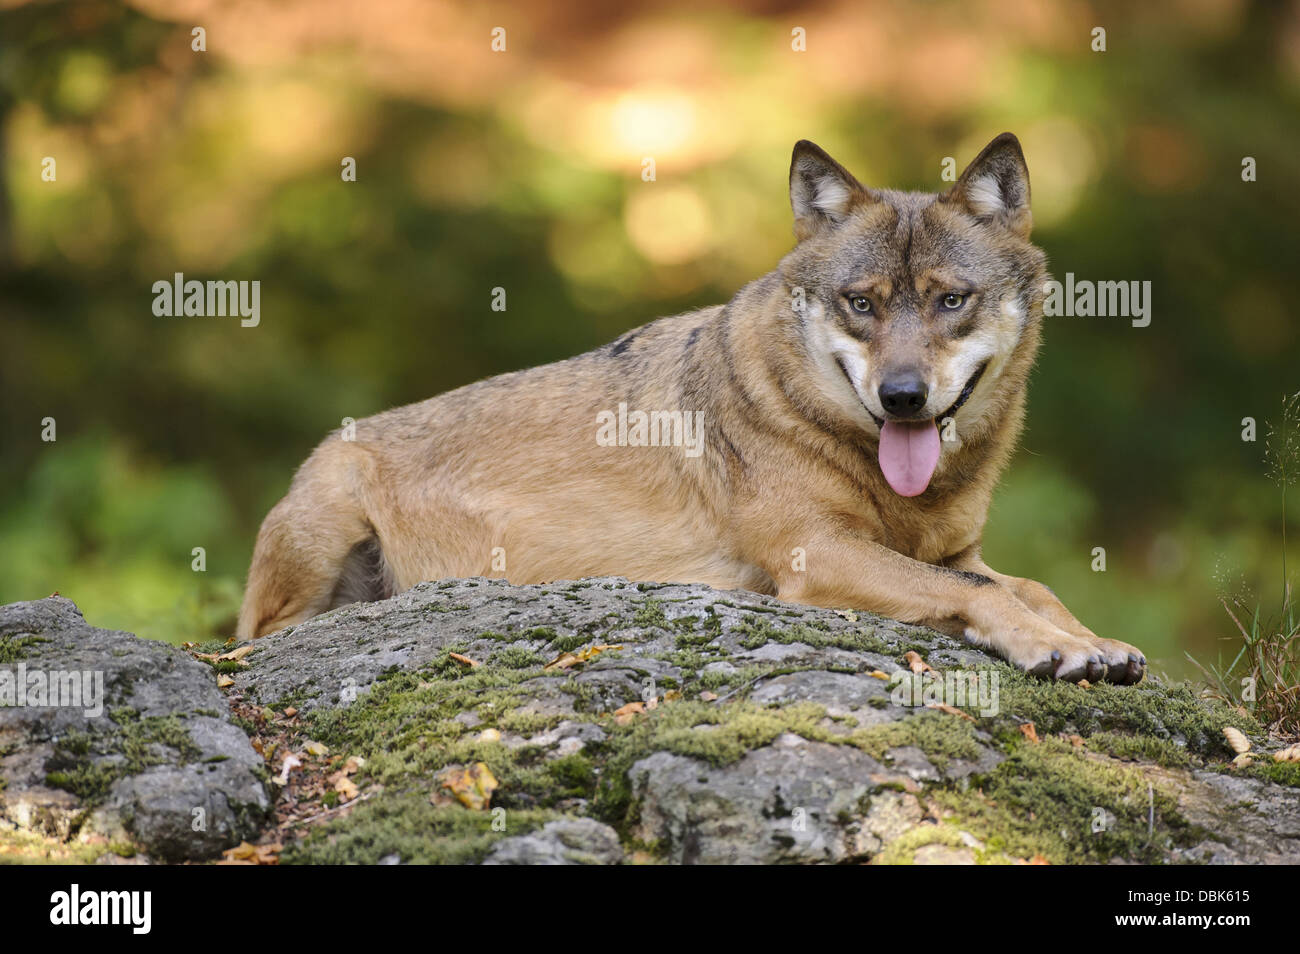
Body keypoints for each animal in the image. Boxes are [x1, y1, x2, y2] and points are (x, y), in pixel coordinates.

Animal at [237, 133, 1146, 684]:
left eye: (951, 300)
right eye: (861, 304)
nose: (902, 397)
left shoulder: (957, 554)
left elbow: (1031, 587)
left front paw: (1093, 642)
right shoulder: (818, 555)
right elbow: (985, 595)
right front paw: (1058, 650)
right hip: (326, 513)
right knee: (258, 638)